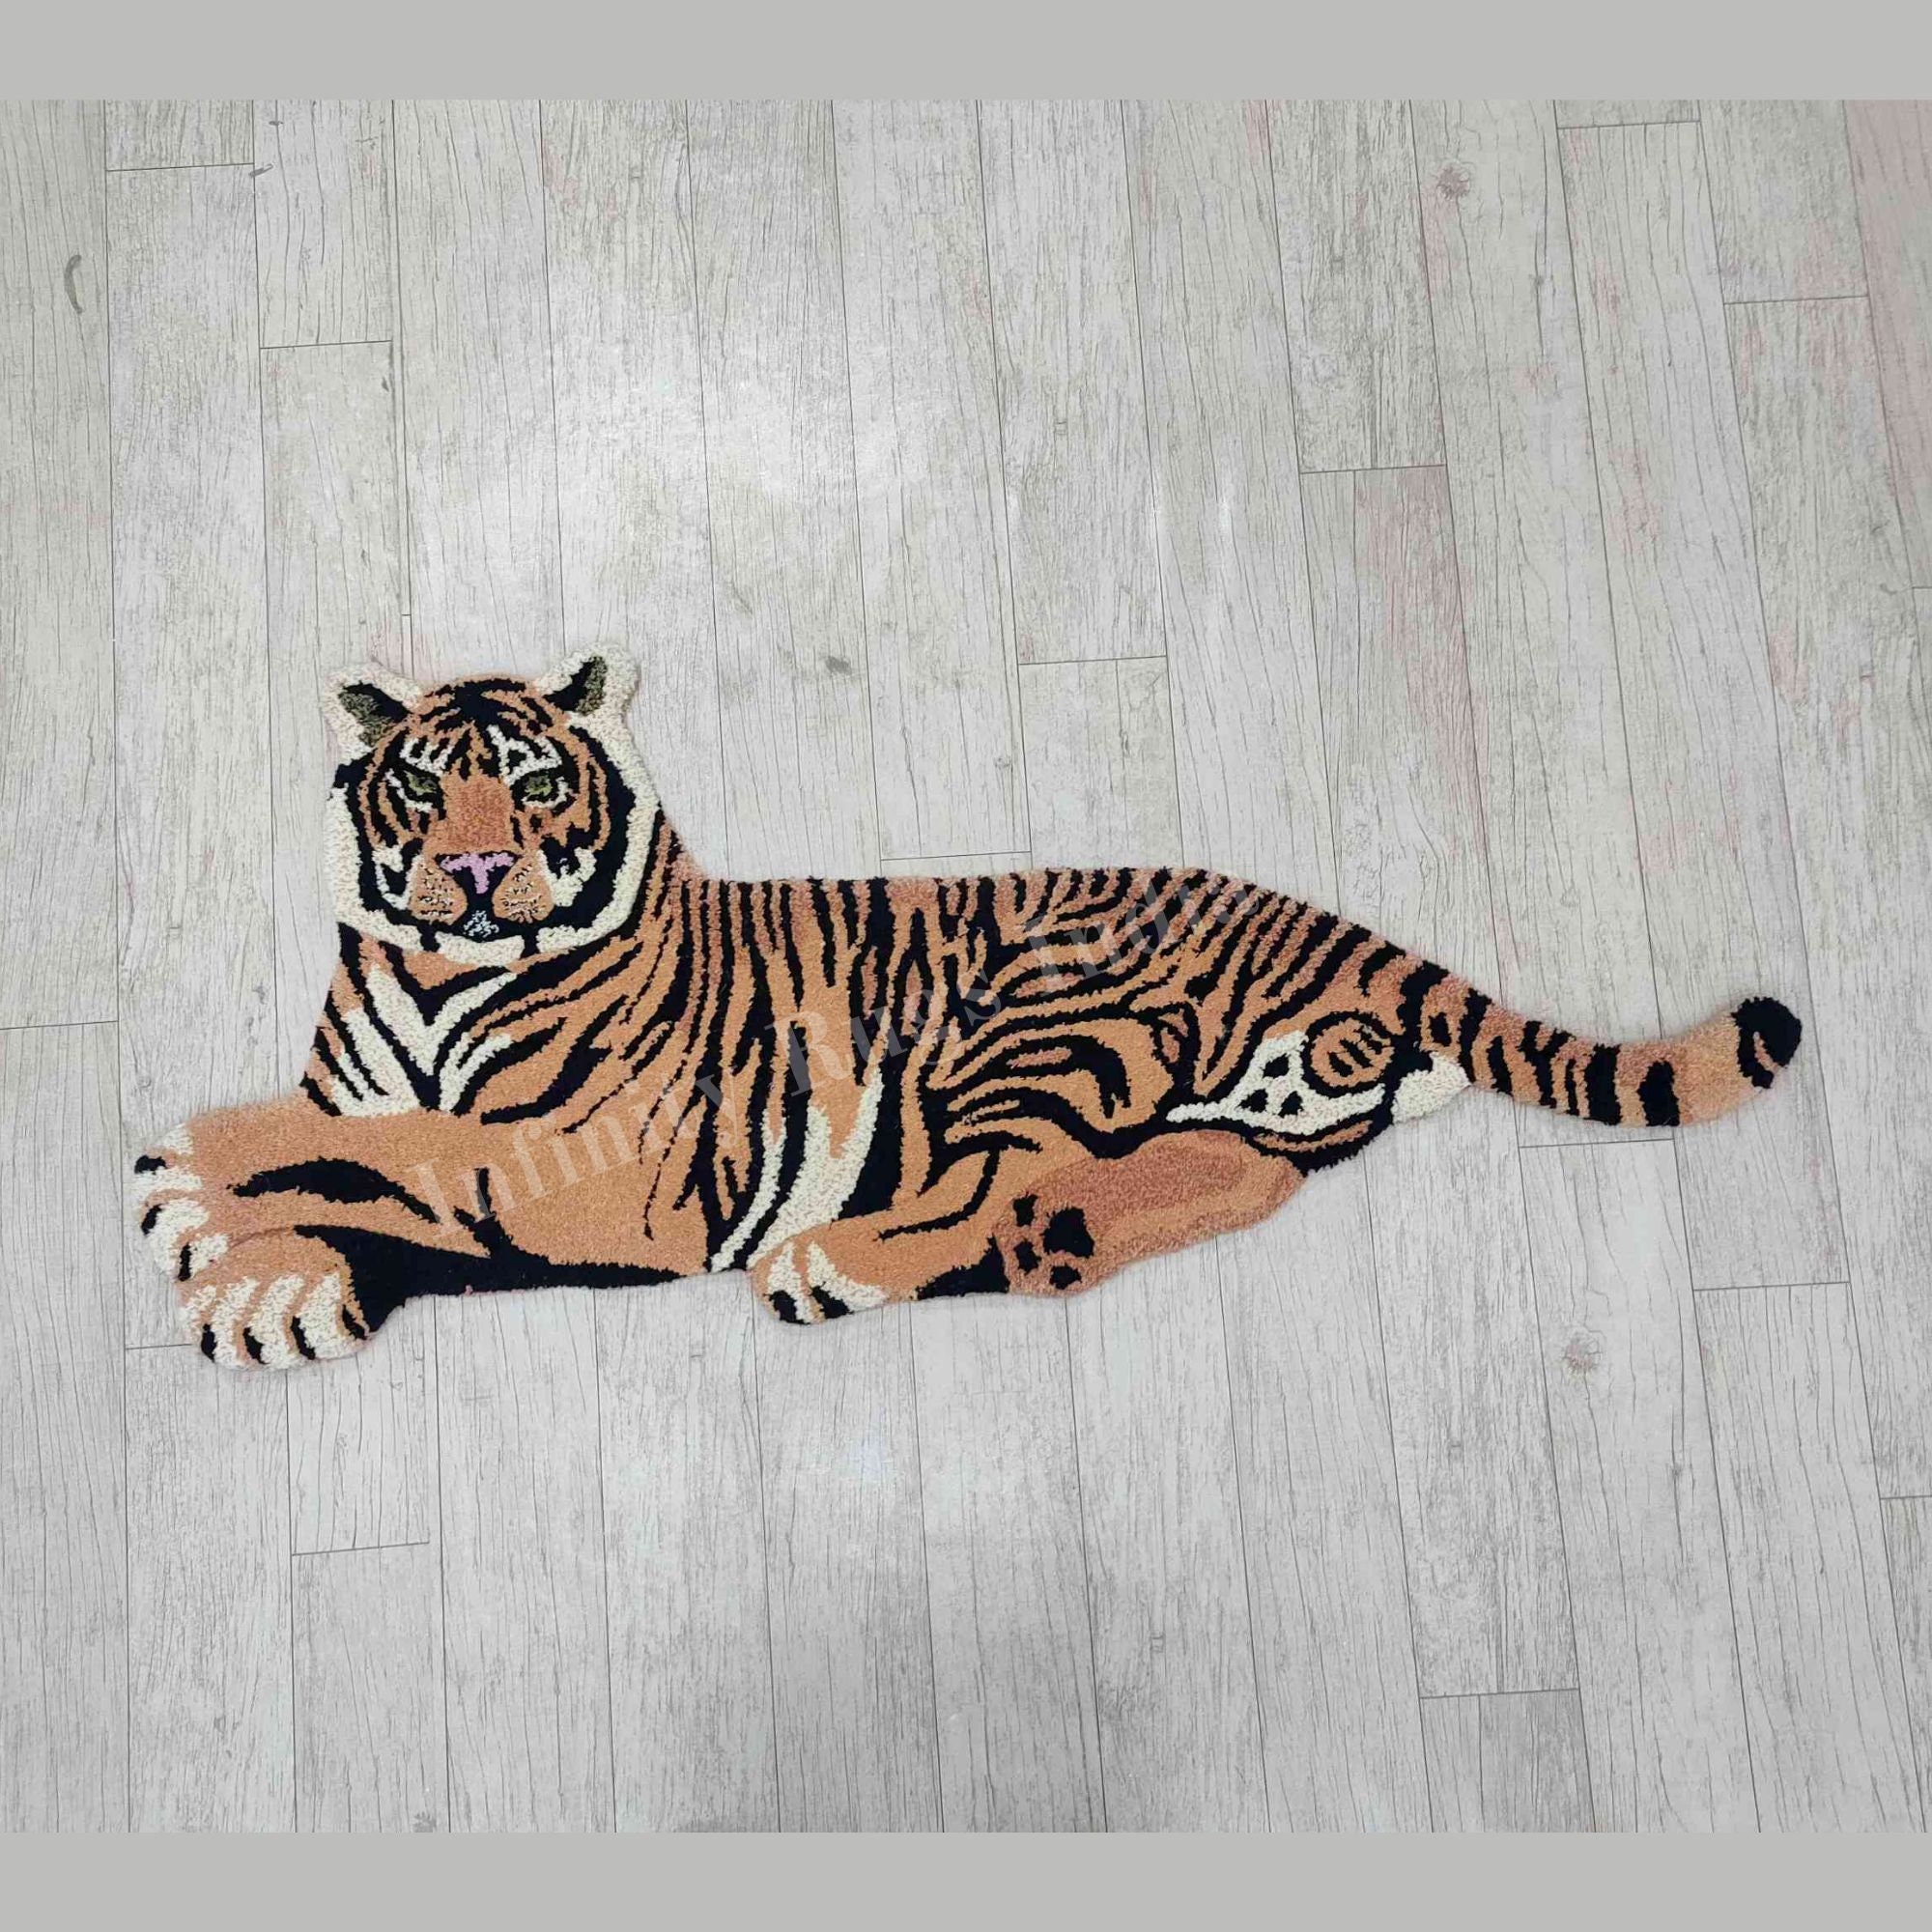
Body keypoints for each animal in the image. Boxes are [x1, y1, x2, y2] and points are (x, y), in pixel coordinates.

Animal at [133, 653, 1805, 1368]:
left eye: (537, 782)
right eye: (424, 786)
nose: (478, 869)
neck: (433, 969)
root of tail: (1311, 915)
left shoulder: (606, 1171)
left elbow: (416, 1156)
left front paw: (194, 1185)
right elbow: (370, 1172)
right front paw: (267, 1285)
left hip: (1035, 1033)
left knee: (994, 1181)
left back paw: (843, 1264)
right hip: (1238, 1109)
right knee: (1226, 1177)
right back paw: (1055, 1246)